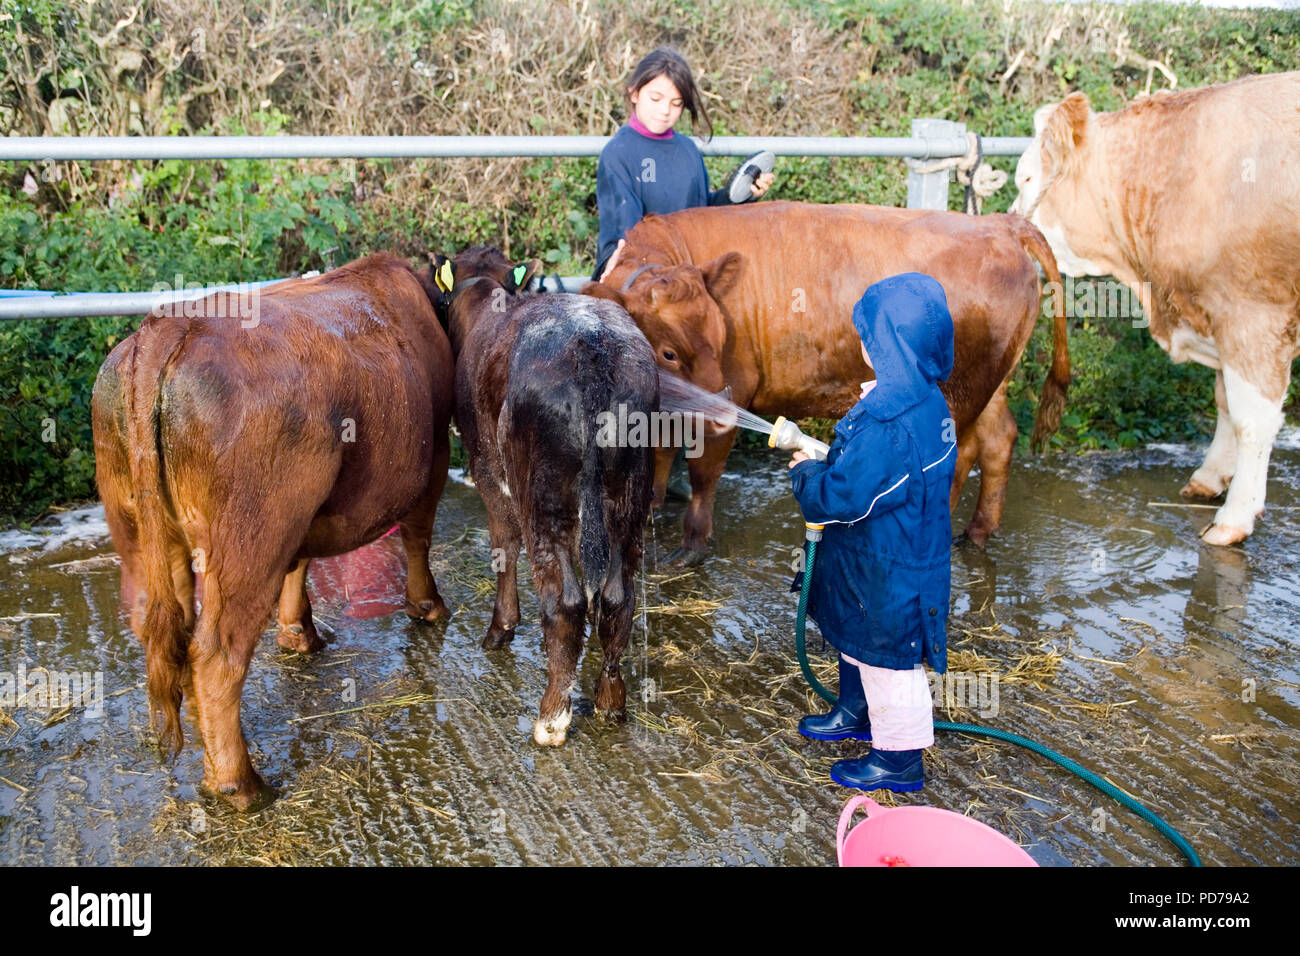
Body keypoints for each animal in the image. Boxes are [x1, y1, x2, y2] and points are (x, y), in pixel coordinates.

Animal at [91, 253, 455, 809]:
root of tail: (166, 328)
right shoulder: (432, 460)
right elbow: (418, 537)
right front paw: (427, 606)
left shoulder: (305, 509)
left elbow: (299, 561)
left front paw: (297, 633)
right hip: (251, 537)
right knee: (216, 653)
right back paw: (239, 784)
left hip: (144, 532)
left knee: (164, 630)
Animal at [433, 245, 658, 746]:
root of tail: (592, 345)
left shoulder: (487, 470)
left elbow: (503, 546)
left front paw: (500, 629)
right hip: (629, 498)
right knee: (618, 596)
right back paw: (610, 701)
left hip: (543, 497)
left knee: (565, 600)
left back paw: (552, 717)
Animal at [582, 200, 1071, 560]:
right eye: (668, 352)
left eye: (721, 336)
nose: (721, 405)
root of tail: (1000, 224)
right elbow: (661, 449)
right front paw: (650, 506)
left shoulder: (731, 387)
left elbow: (704, 470)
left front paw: (693, 544)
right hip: (994, 386)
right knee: (999, 439)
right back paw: (977, 532)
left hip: (961, 395)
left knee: (961, 455)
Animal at [1010, 72, 1300, 546]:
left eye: (1027, 179)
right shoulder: (1216, 317)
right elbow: (1223, 400)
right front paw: (1209, 478)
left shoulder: (1252, 316)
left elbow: (1251, 420)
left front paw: (1234, 517)